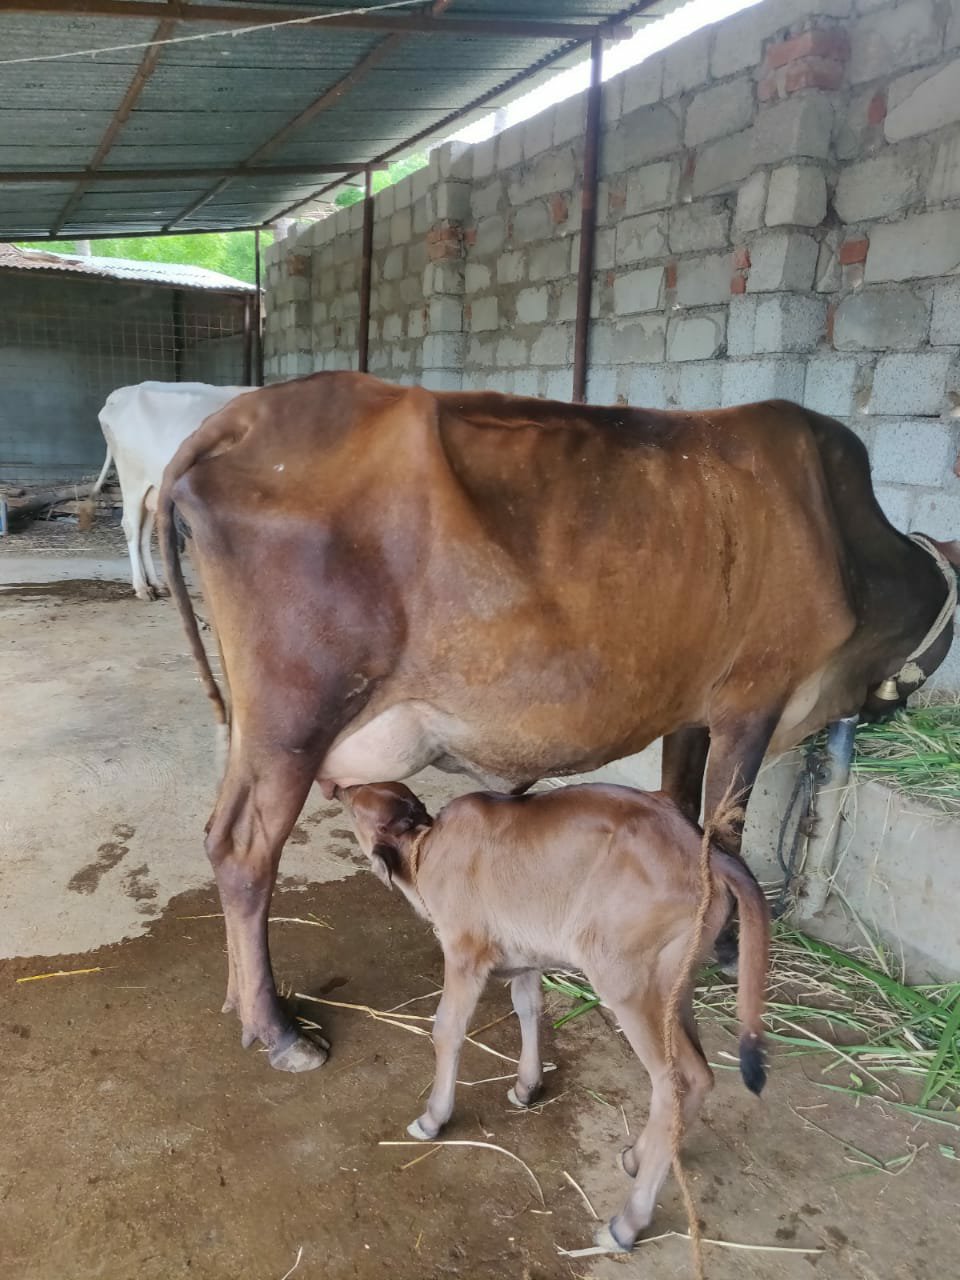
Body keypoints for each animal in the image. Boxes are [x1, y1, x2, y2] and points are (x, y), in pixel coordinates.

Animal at [93, 382, 249, 599]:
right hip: (131, 477)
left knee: (144, 533)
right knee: (131, 526)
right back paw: (141, 587)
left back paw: (156, 584)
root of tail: (120, 393)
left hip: (152, 489)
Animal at [158, 372, 958, 1073]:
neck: (846, 542)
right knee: (243, 852)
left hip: (259, 728)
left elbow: (681, 807)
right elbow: (724, 827)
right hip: (294, 717)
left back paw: (243, 1005)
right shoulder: (751, 700)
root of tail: (244, 415)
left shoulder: (689, 706)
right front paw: (728, 945)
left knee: (222, 838)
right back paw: (279, 1033)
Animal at [336, 779, 770, 1252]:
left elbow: (447, 1029)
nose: (338, 788)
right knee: (700, 1076)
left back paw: (627, 1223)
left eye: (358, 807)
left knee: (677, 1081)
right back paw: (639, 1157)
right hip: (675, 987)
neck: (428, 848)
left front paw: (434, 1117)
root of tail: (706, 850)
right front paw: (527, 1087)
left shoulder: (466, 951)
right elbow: (527, 1008)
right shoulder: (526, 955)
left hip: (626, 982)